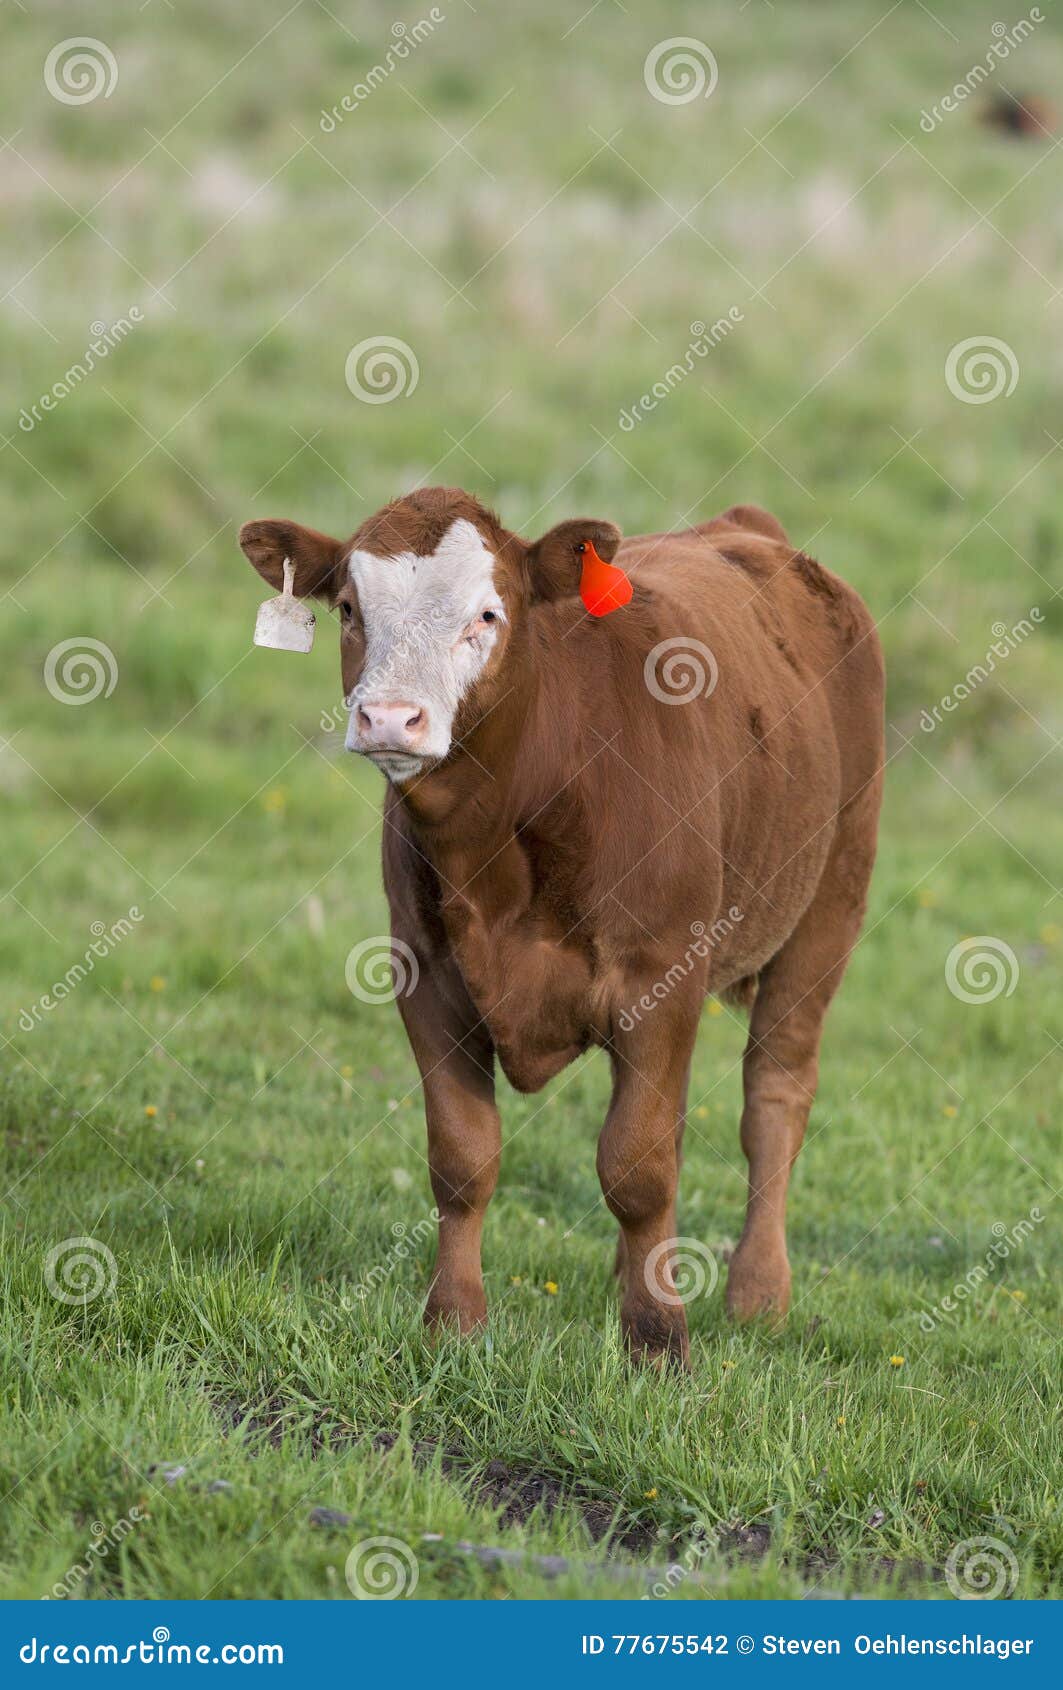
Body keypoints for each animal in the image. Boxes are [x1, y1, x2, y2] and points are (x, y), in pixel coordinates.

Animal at [240, 488, 884, 1365]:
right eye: (348, 608)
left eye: (487, 613)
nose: (390, 719)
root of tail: (747, 528)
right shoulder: (426, 975)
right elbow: (464, 1157)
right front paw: (454, 1321)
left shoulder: (659, 978)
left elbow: (637, 1165)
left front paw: (658, 1340)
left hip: (827, 908)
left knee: (774, 1099)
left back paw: (757, 1293)